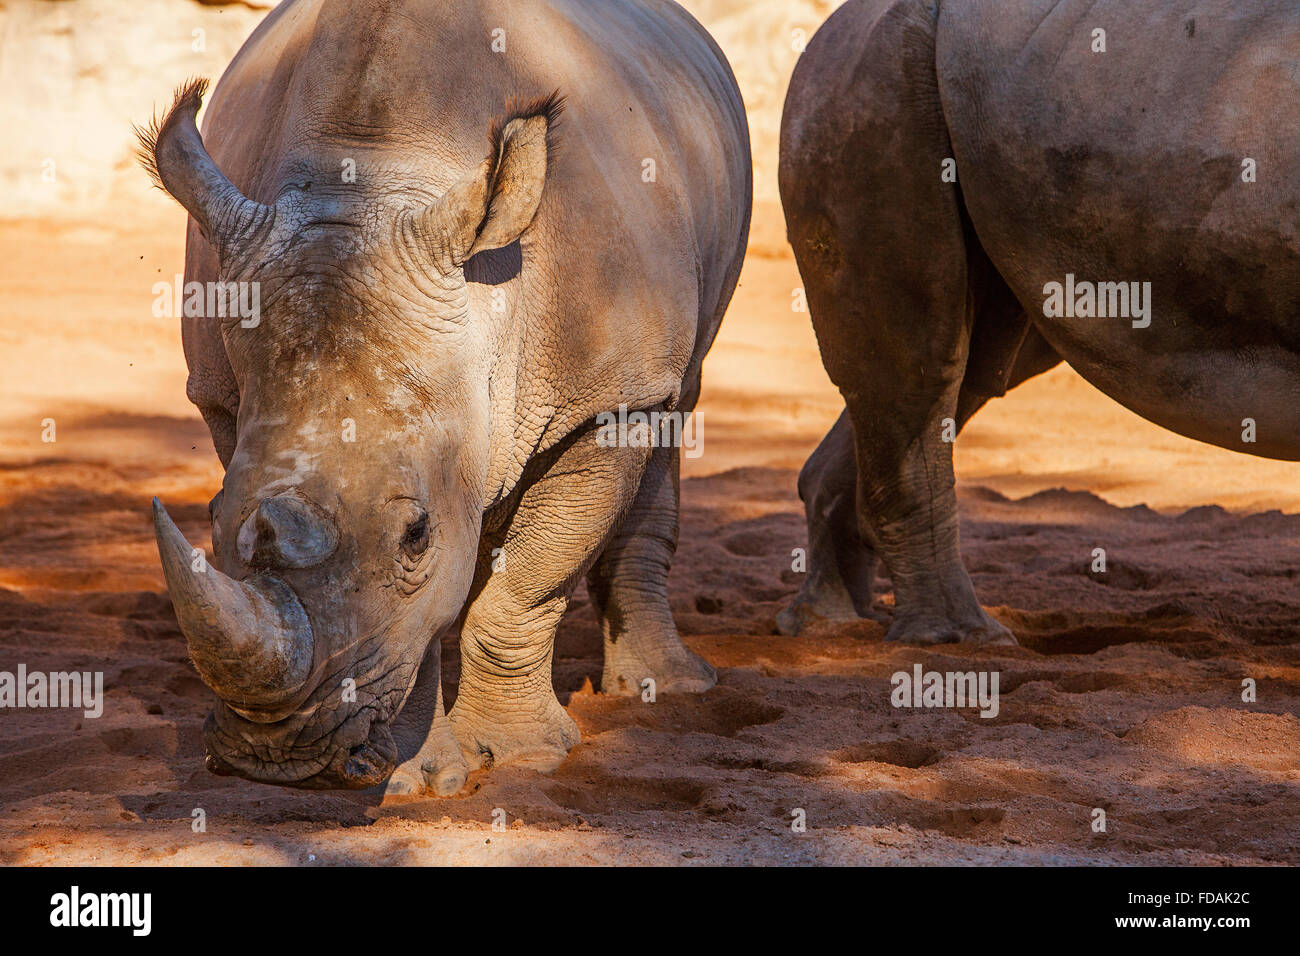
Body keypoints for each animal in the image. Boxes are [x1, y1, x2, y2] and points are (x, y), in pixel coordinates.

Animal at [140, 0, 750, 794]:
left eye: (415, 535)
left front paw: (519, 755)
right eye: (210, 516)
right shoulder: (222, 394)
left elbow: (525, 586)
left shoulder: (605, 400)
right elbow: (417, 611)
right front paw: (417, 778)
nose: (276, 753)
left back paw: (667, 690)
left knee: (676, 405)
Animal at [777, 0, 1299, 643]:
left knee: (967, 370)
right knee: (926, 369)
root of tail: (830, 27)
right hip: (871, 79)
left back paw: (829, 623)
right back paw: (962, 640)